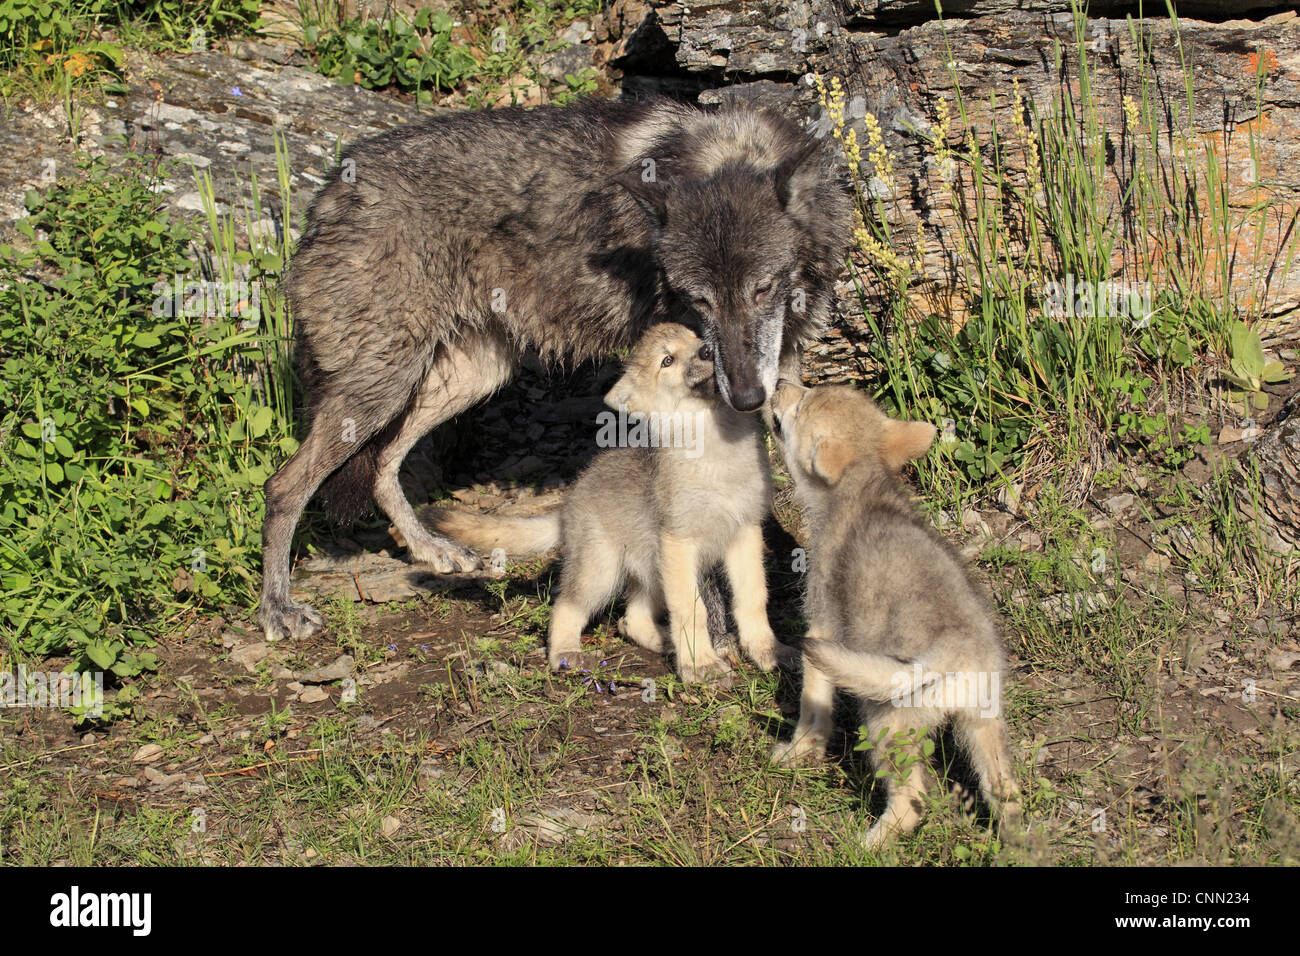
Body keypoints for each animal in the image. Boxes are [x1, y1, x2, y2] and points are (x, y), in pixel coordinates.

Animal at [258, 96, 852, 643]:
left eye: (763, 288)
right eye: (698, 299)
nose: (748, 397)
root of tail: (328, 193)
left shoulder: (781, 376)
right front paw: (716, 630)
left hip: (464, 378)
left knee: (382, 465)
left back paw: (436, 551)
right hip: (382, 384)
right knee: (284, 484)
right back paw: (278, 610)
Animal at [421, 323, 785, 682]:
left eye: (697, 339)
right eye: (667, 360)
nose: (710, 350)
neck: (716, 447)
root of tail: (567, 505)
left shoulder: (745, 533)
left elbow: (753, 598)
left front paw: (769, 652)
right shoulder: (679, 543)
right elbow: (692, 609)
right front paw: (701, 666)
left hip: (650, 571)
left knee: (631, 619)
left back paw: (666, 643)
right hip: (602, 572)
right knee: (566, 607)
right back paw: (566, 654)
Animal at [767, 382, 1020, 848]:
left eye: (802, 402)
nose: (779, 385)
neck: (861, 489)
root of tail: (959, 651)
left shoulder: (822, 626)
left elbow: (813, 711)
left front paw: (796, 753)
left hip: (884, 725)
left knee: (911, 803)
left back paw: (864, 845)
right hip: (983, 730)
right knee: (1006, 796)